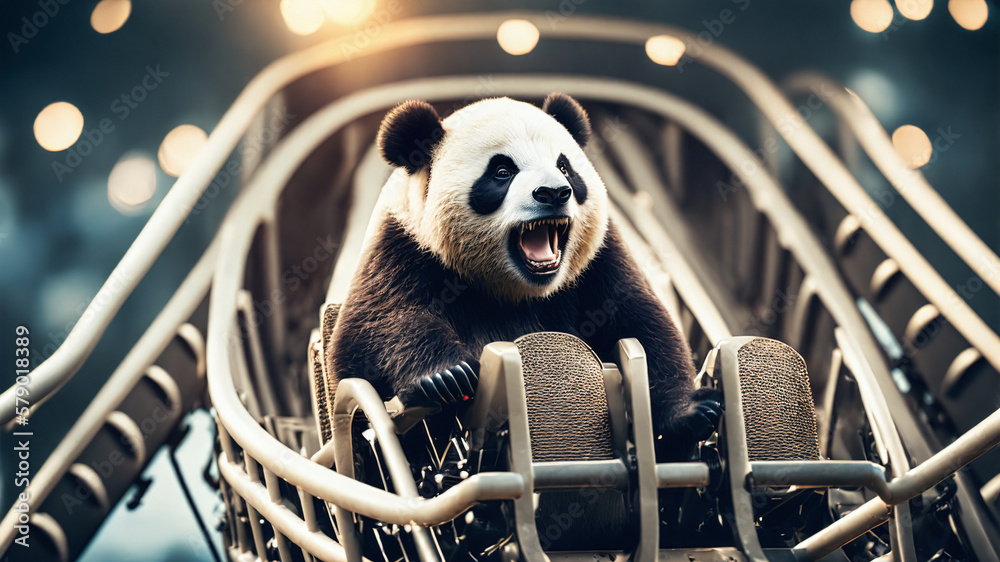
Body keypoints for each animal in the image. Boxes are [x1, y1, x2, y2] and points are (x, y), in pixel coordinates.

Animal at [330, 93, 722, 450]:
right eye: (502, 171)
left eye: (564, 166)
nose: (554, 192)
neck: (518, 290)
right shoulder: (403, 247)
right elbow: (368, 337)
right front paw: (446, 375)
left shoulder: (599, 259)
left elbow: (640, 321)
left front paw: (691, 412)